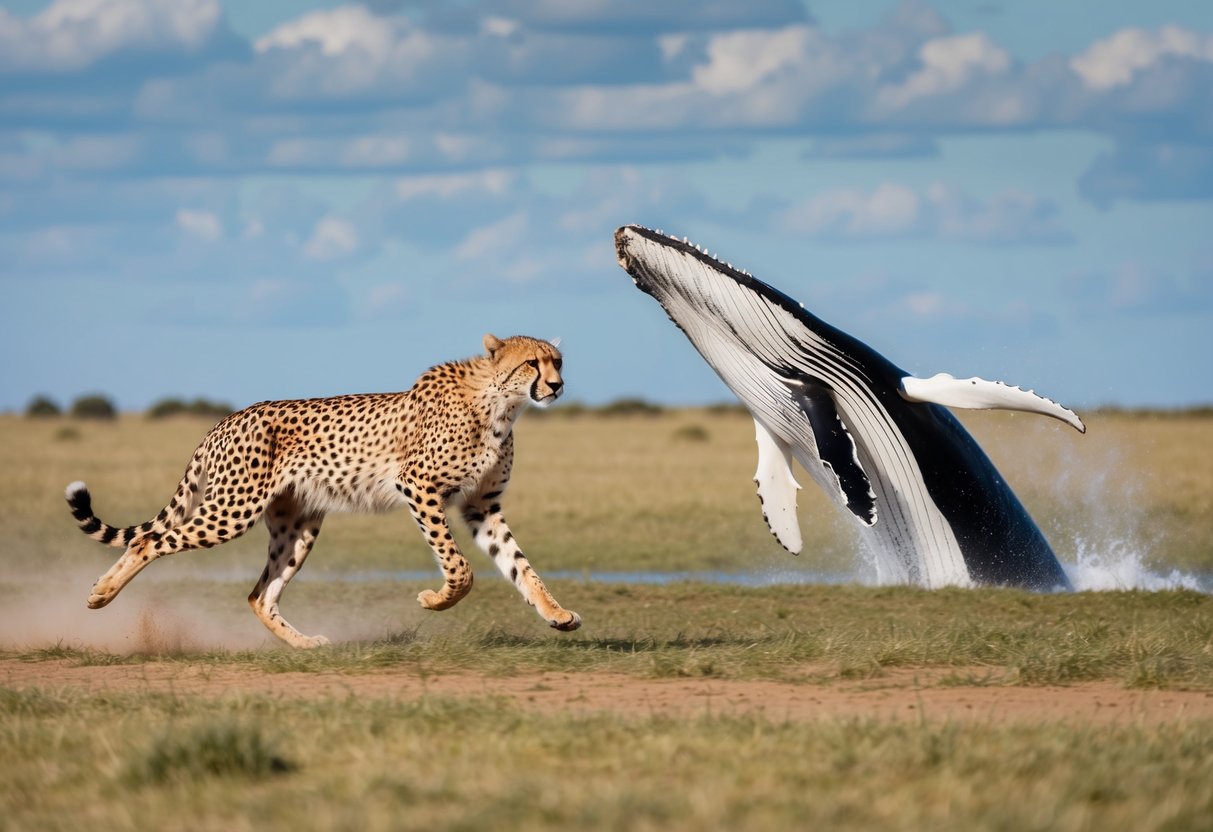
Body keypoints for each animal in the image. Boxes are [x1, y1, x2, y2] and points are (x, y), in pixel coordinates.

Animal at [64, 334, 580, 648]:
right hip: (232, 509)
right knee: (149, 540)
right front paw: (436, 600)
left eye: (557, 361)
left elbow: (520, 565)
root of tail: (227, 418)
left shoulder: (482, 506)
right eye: (531, 363)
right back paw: (101, 594)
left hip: (298, 526)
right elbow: (460, 566)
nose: (557, 386)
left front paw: (556, 614)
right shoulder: (419, 486)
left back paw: (305, 644)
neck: (498, 404)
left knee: (260, 595)